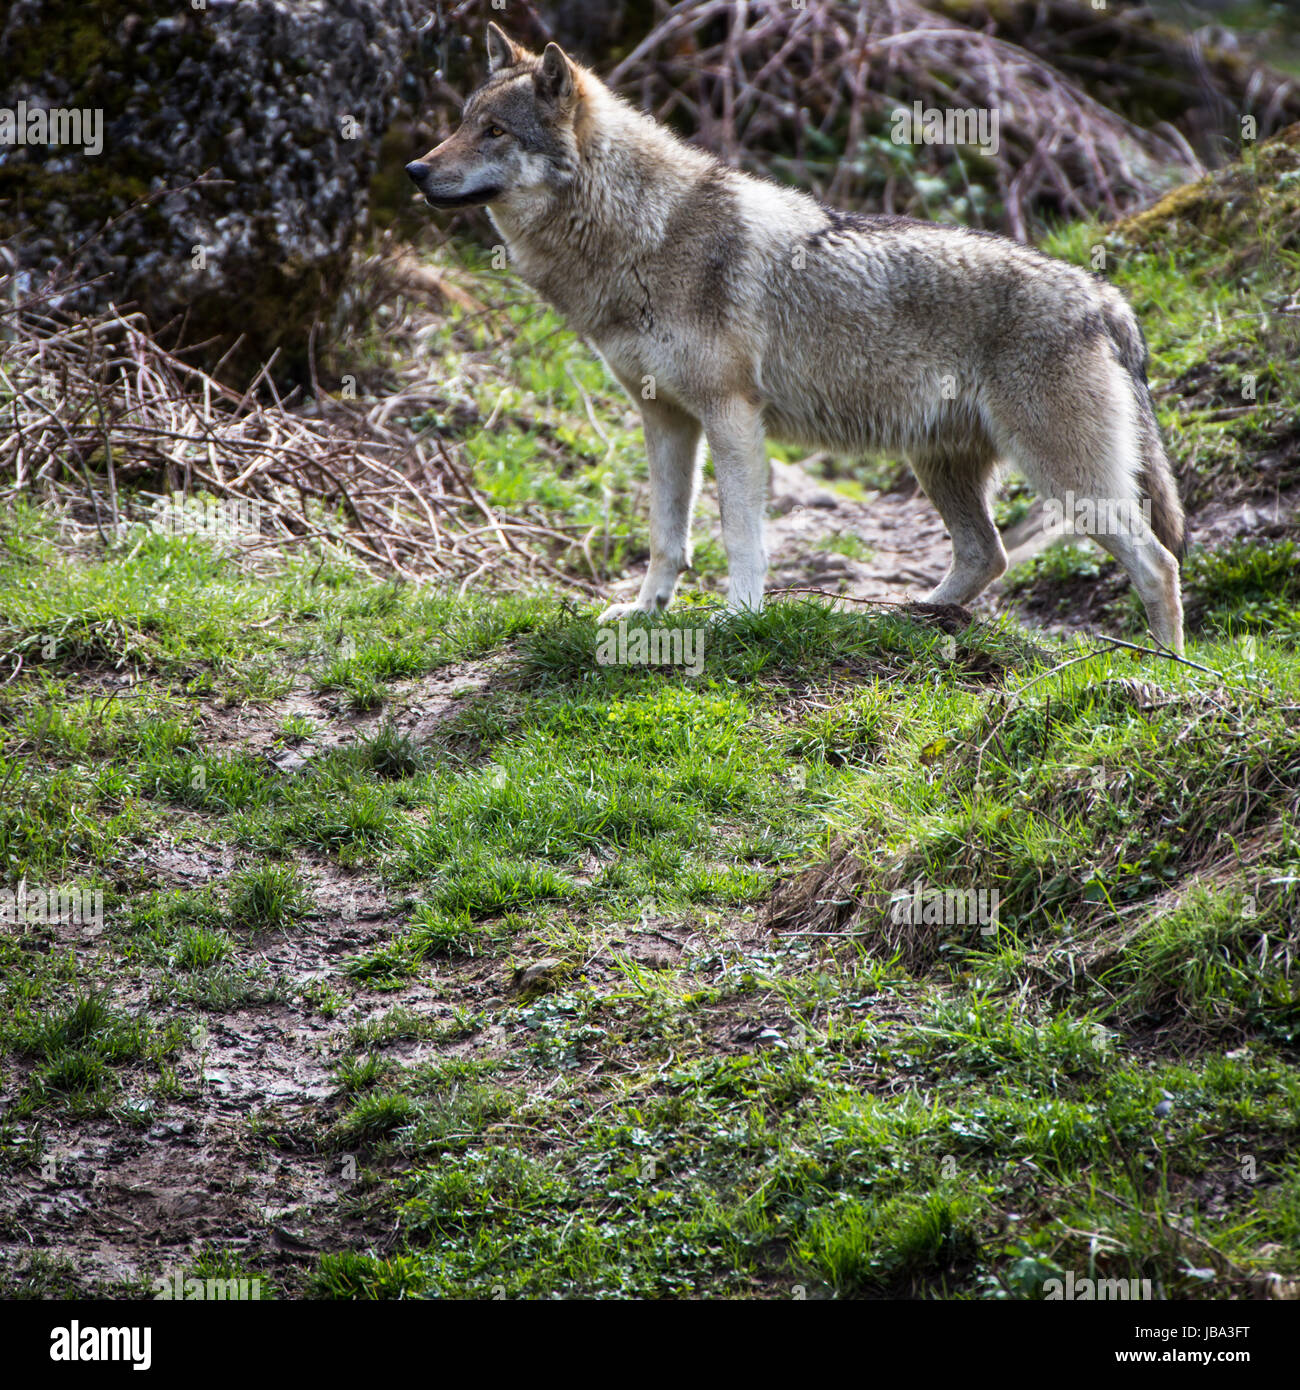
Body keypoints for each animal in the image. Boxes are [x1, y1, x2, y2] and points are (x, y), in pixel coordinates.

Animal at [406, 24, 1186, 653]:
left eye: (495, 132)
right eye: (462, 123)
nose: (414, 170)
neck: (640, 236)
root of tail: (1107, 299)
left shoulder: (731, 416)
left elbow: (740, 537)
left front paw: (739, 619)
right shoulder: (664, 420)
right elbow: (666, 537)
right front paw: (645, 613)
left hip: (1065, 482)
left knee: (1158, 563)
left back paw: (1168, 672)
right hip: (940, 463)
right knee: (986, 555)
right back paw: (909, 615)